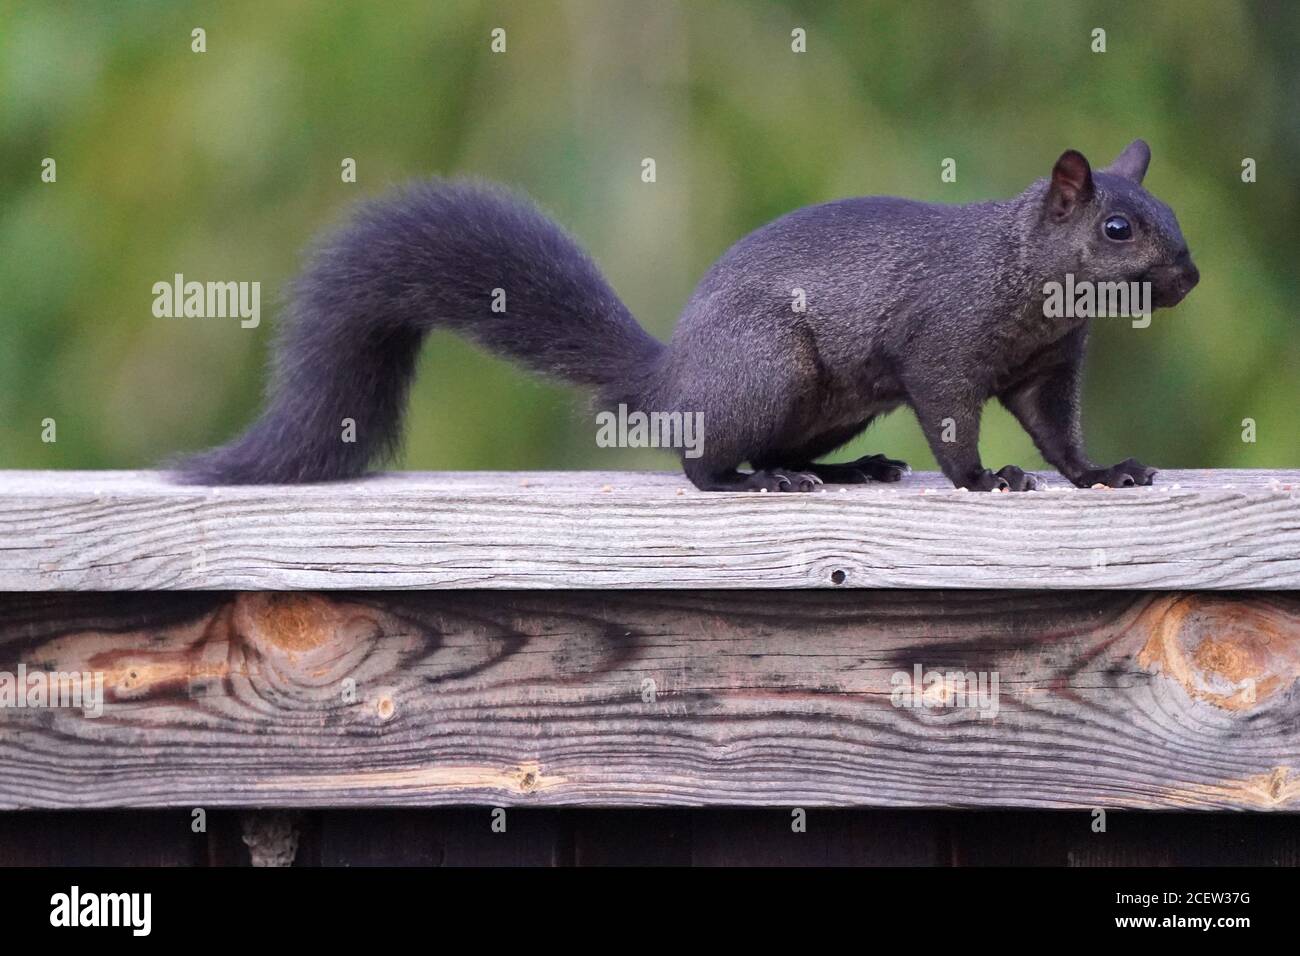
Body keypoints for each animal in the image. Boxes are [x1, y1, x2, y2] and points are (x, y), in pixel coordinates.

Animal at [175, 139, 1198, 492]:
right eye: (1116, 227)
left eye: (1174, 215)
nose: (1189, 276)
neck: (1026, 283)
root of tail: (671, 377)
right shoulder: (941, 342)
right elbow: (952, 420)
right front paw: (987, 479)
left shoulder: (1047, 369)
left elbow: (1057, 432)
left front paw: (1101, 472)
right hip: (771, 367)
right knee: (703, 463)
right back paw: (759, 484)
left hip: (826, 402)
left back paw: (847, 469)